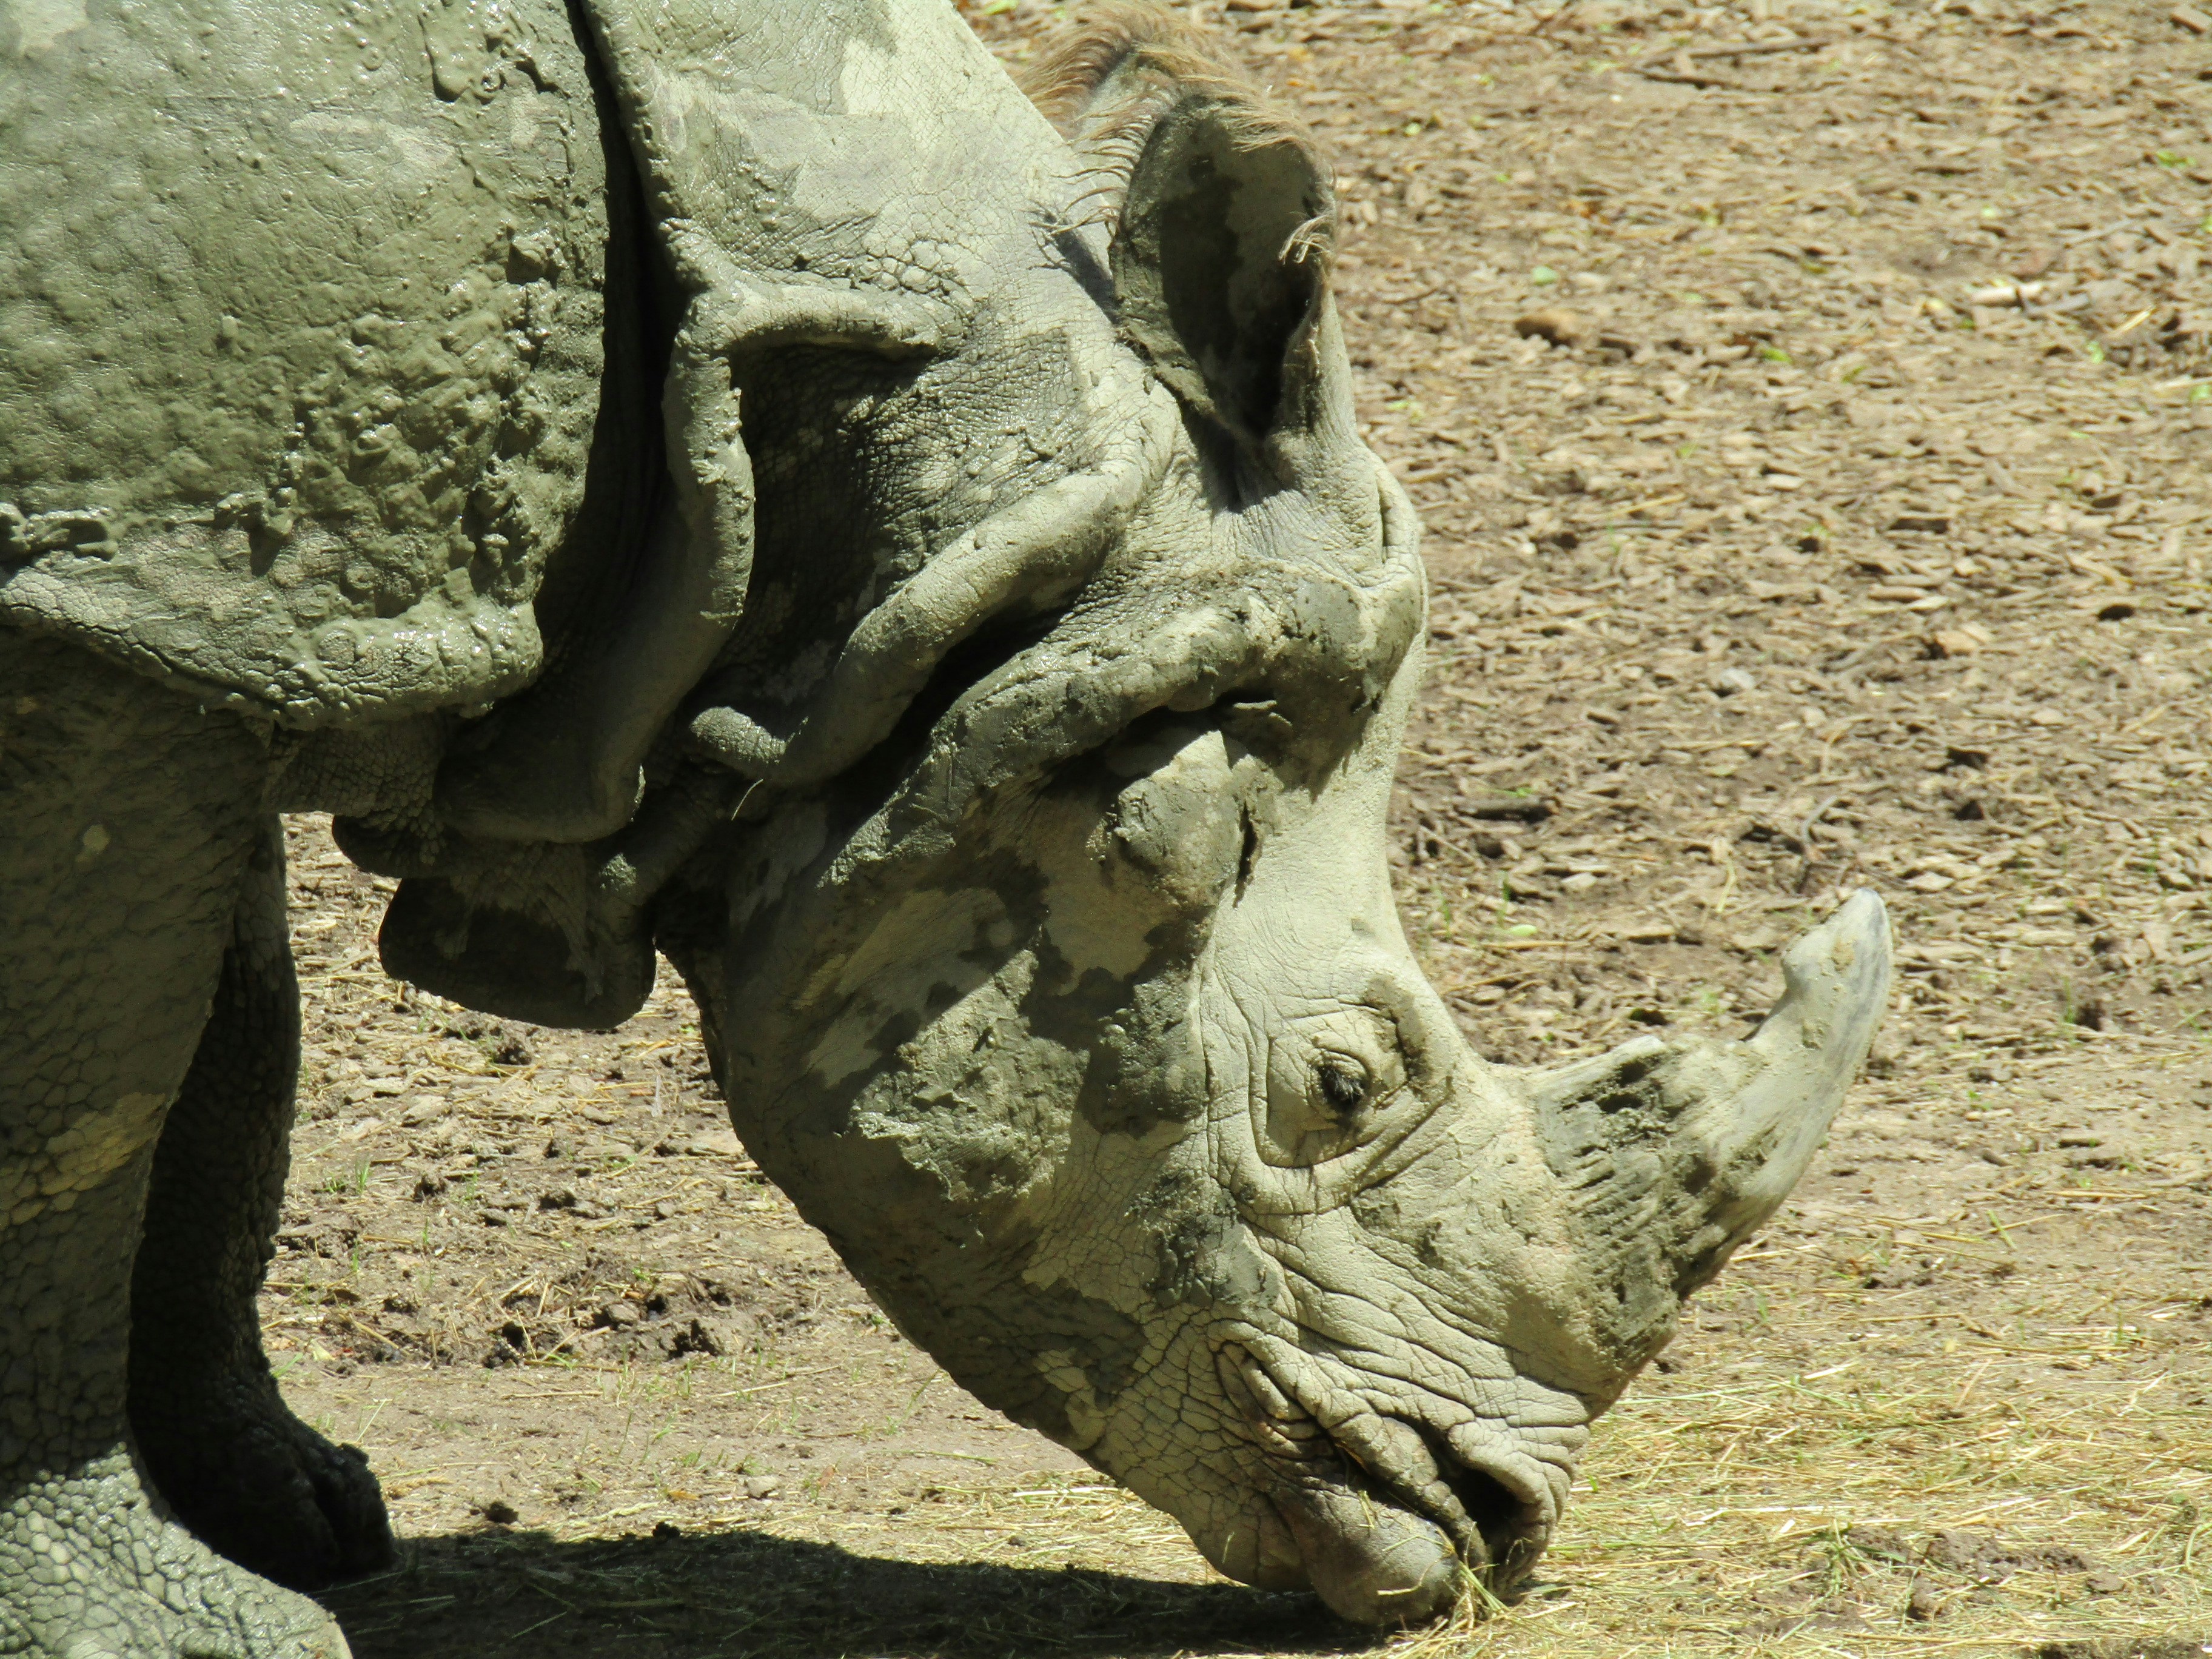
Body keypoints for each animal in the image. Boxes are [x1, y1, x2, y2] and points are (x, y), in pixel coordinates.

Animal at [0, 0, 1892, 1652]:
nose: (1500, 1528)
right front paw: (167, 1621)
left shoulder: (209, 604)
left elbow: (224, 1063)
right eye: (1344, 1085)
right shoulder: (123, 618)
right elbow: (77, 1116)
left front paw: (295, 1516)